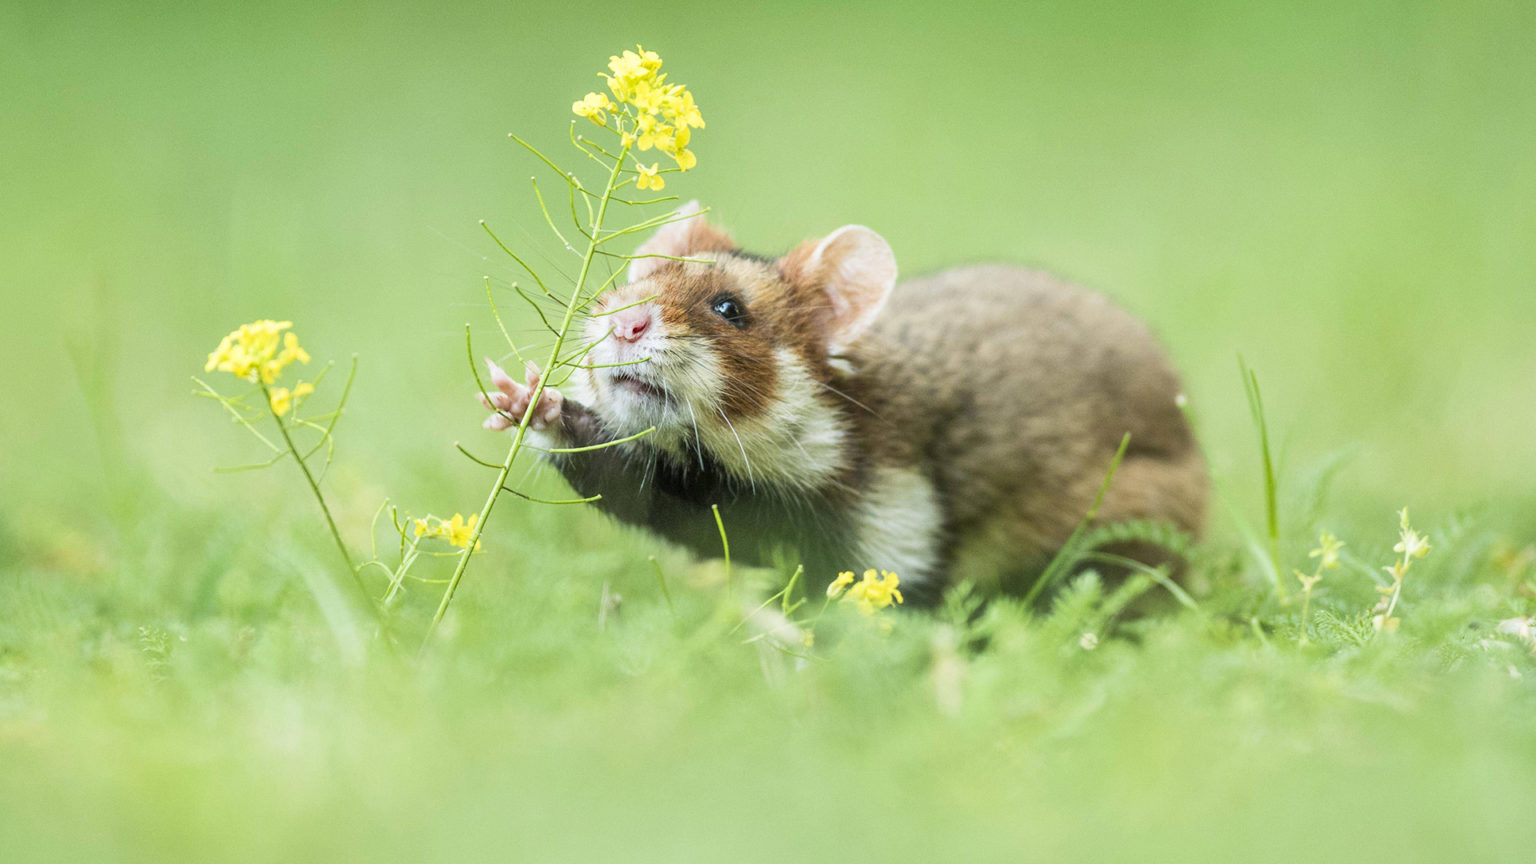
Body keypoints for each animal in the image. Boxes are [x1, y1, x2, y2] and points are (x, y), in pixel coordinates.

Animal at [479, 201, 1207, 602]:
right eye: (628, 282)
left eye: (729, 308)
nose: (623, 324)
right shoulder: (703, 500)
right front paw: (526, 401)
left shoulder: (896, 536)